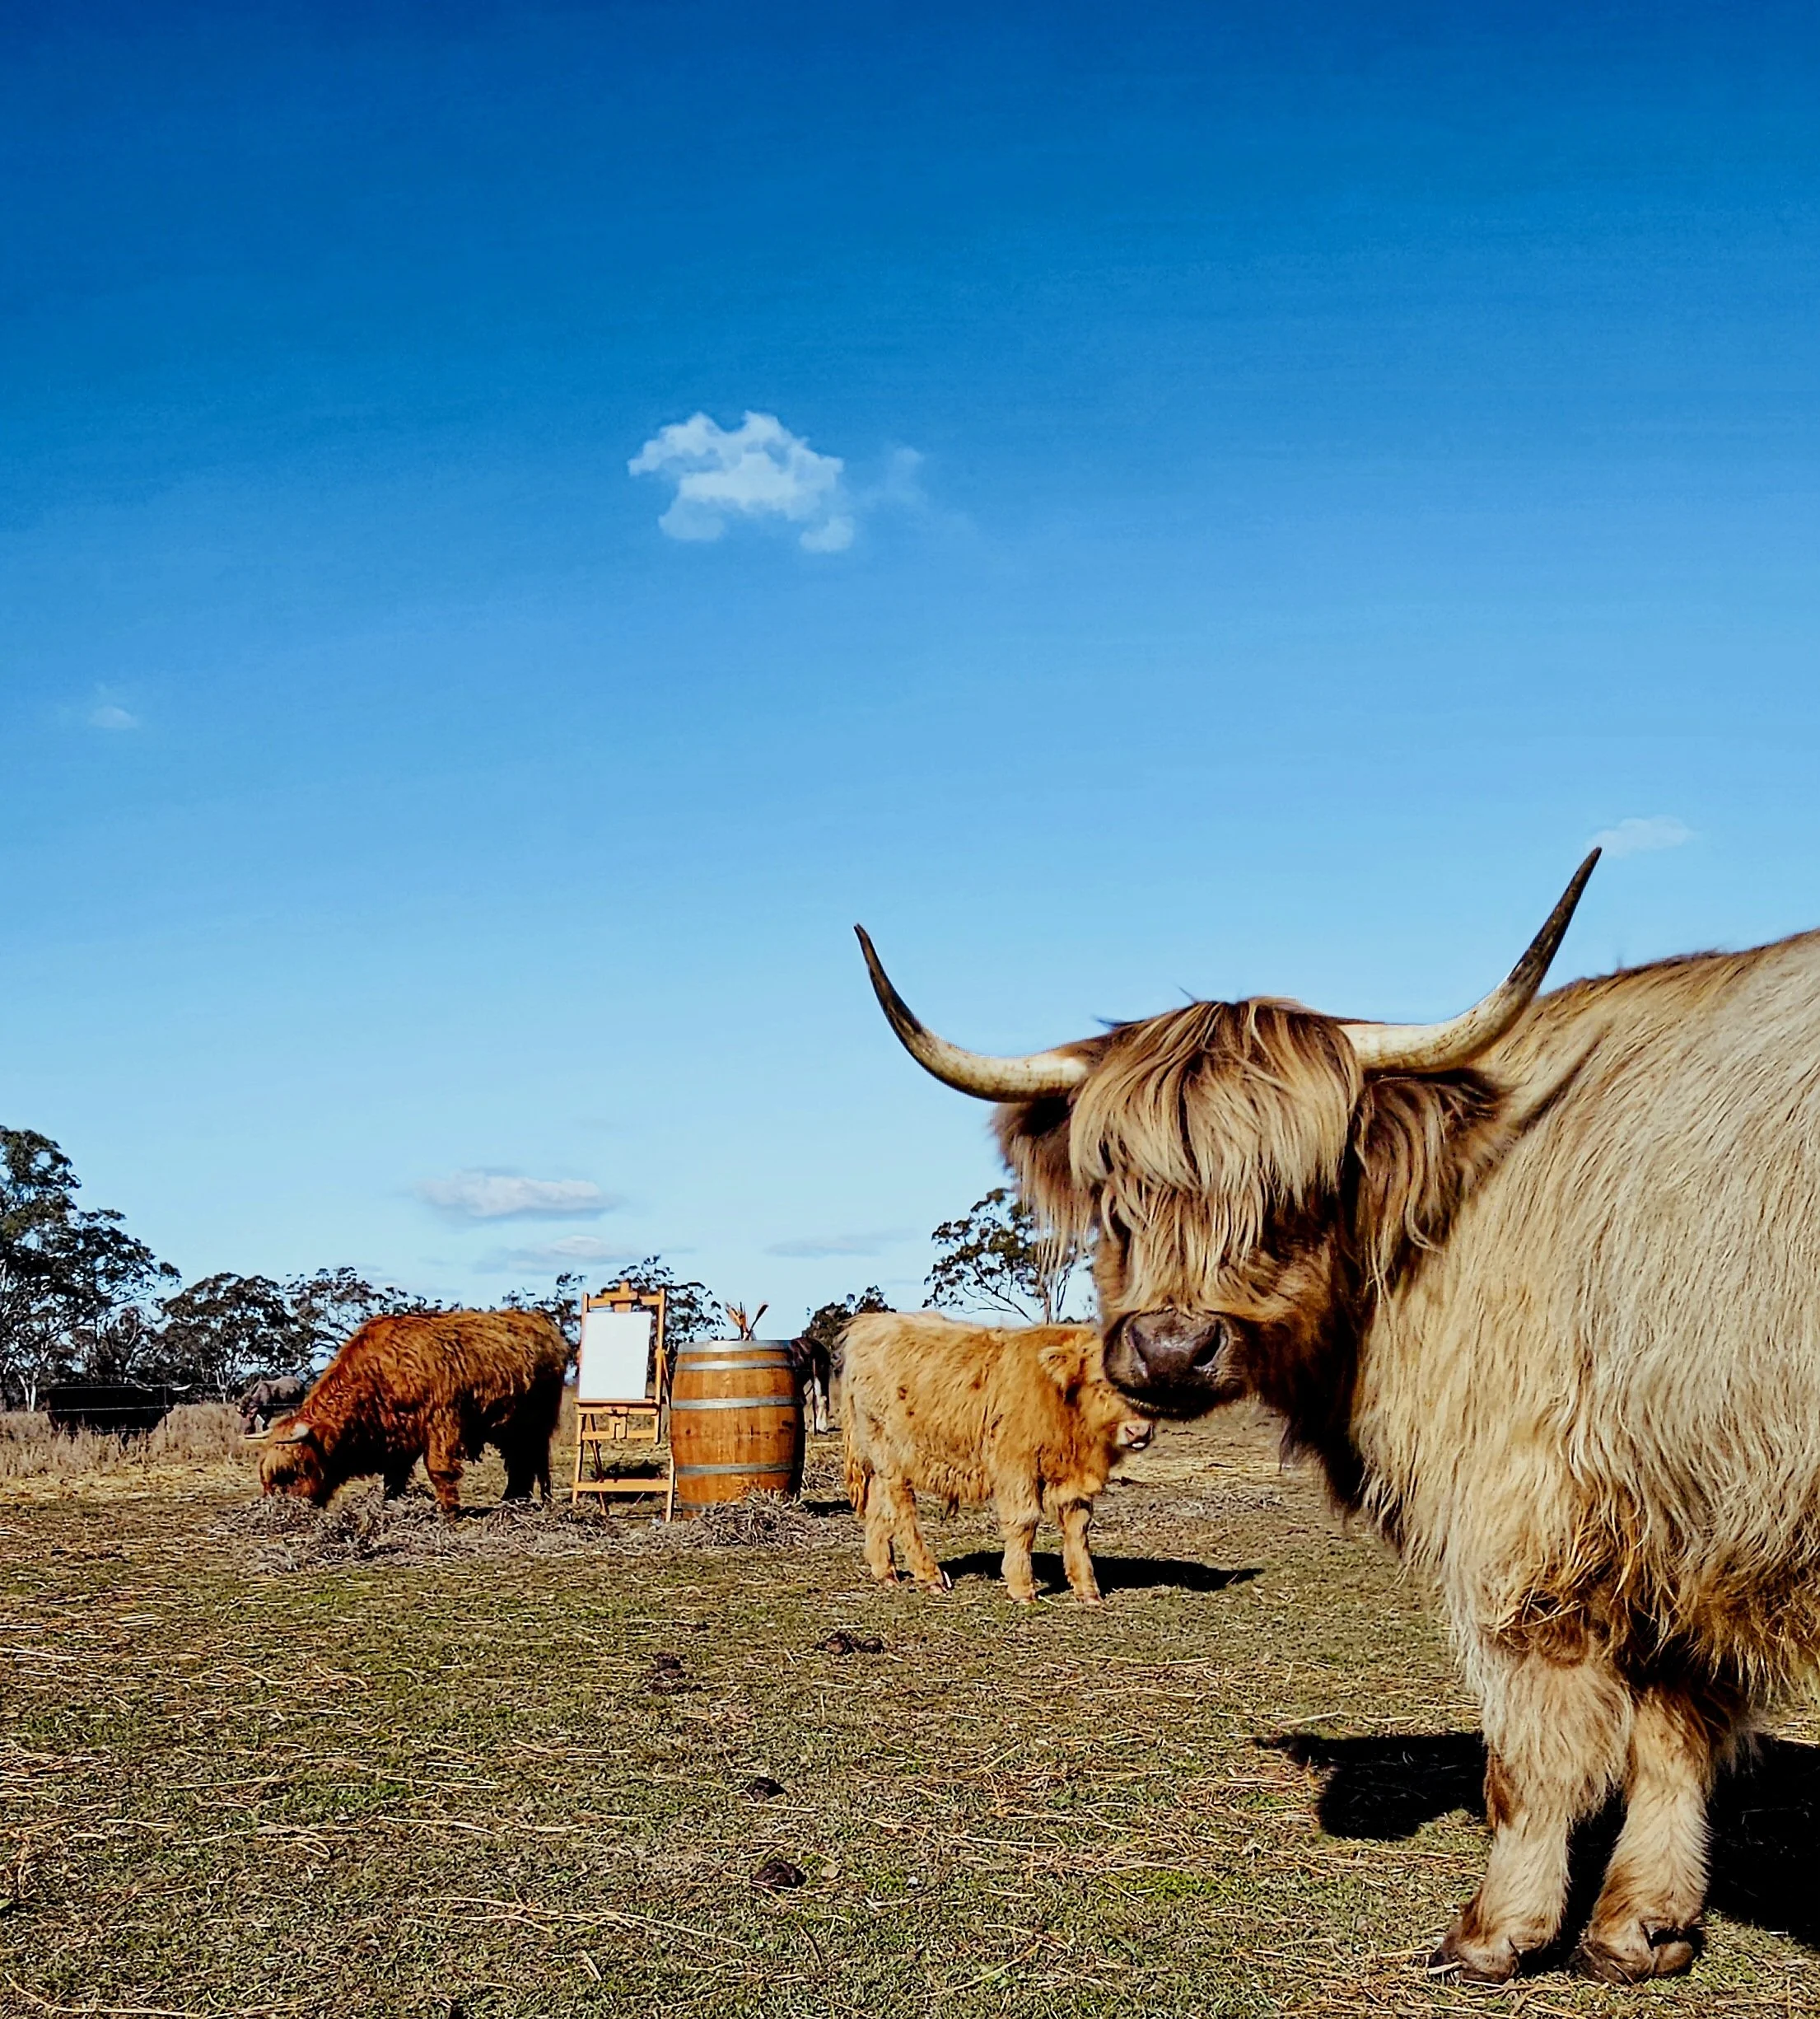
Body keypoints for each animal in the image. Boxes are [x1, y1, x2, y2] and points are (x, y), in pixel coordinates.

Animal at [259, 1310, 567, 1516]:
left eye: (292, 1472)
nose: (282, 1509)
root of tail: (540, 1320)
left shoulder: (442, 1421)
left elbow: (439, 1469)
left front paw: (449, 1511)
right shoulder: (398, 1436)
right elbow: (394, 1477)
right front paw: (389, 1505)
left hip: (538, 1423)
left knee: (534, 1461)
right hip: (513, 1427)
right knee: (519, 1461)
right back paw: (513, 1499)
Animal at [841, 1312, 1153, 1604]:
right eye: (1100, 1381)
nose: (1139, 1430)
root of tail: (872, 1323)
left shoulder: (1071, 1481)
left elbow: (1078, 1526)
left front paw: (1087, 1590)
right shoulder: (1016, 1467)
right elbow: (1024, 1521)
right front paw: (1022, 1588)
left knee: (879, 1507)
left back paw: (885, 1571)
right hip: (889, 1452)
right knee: (902, 1508)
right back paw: (929, 1575)